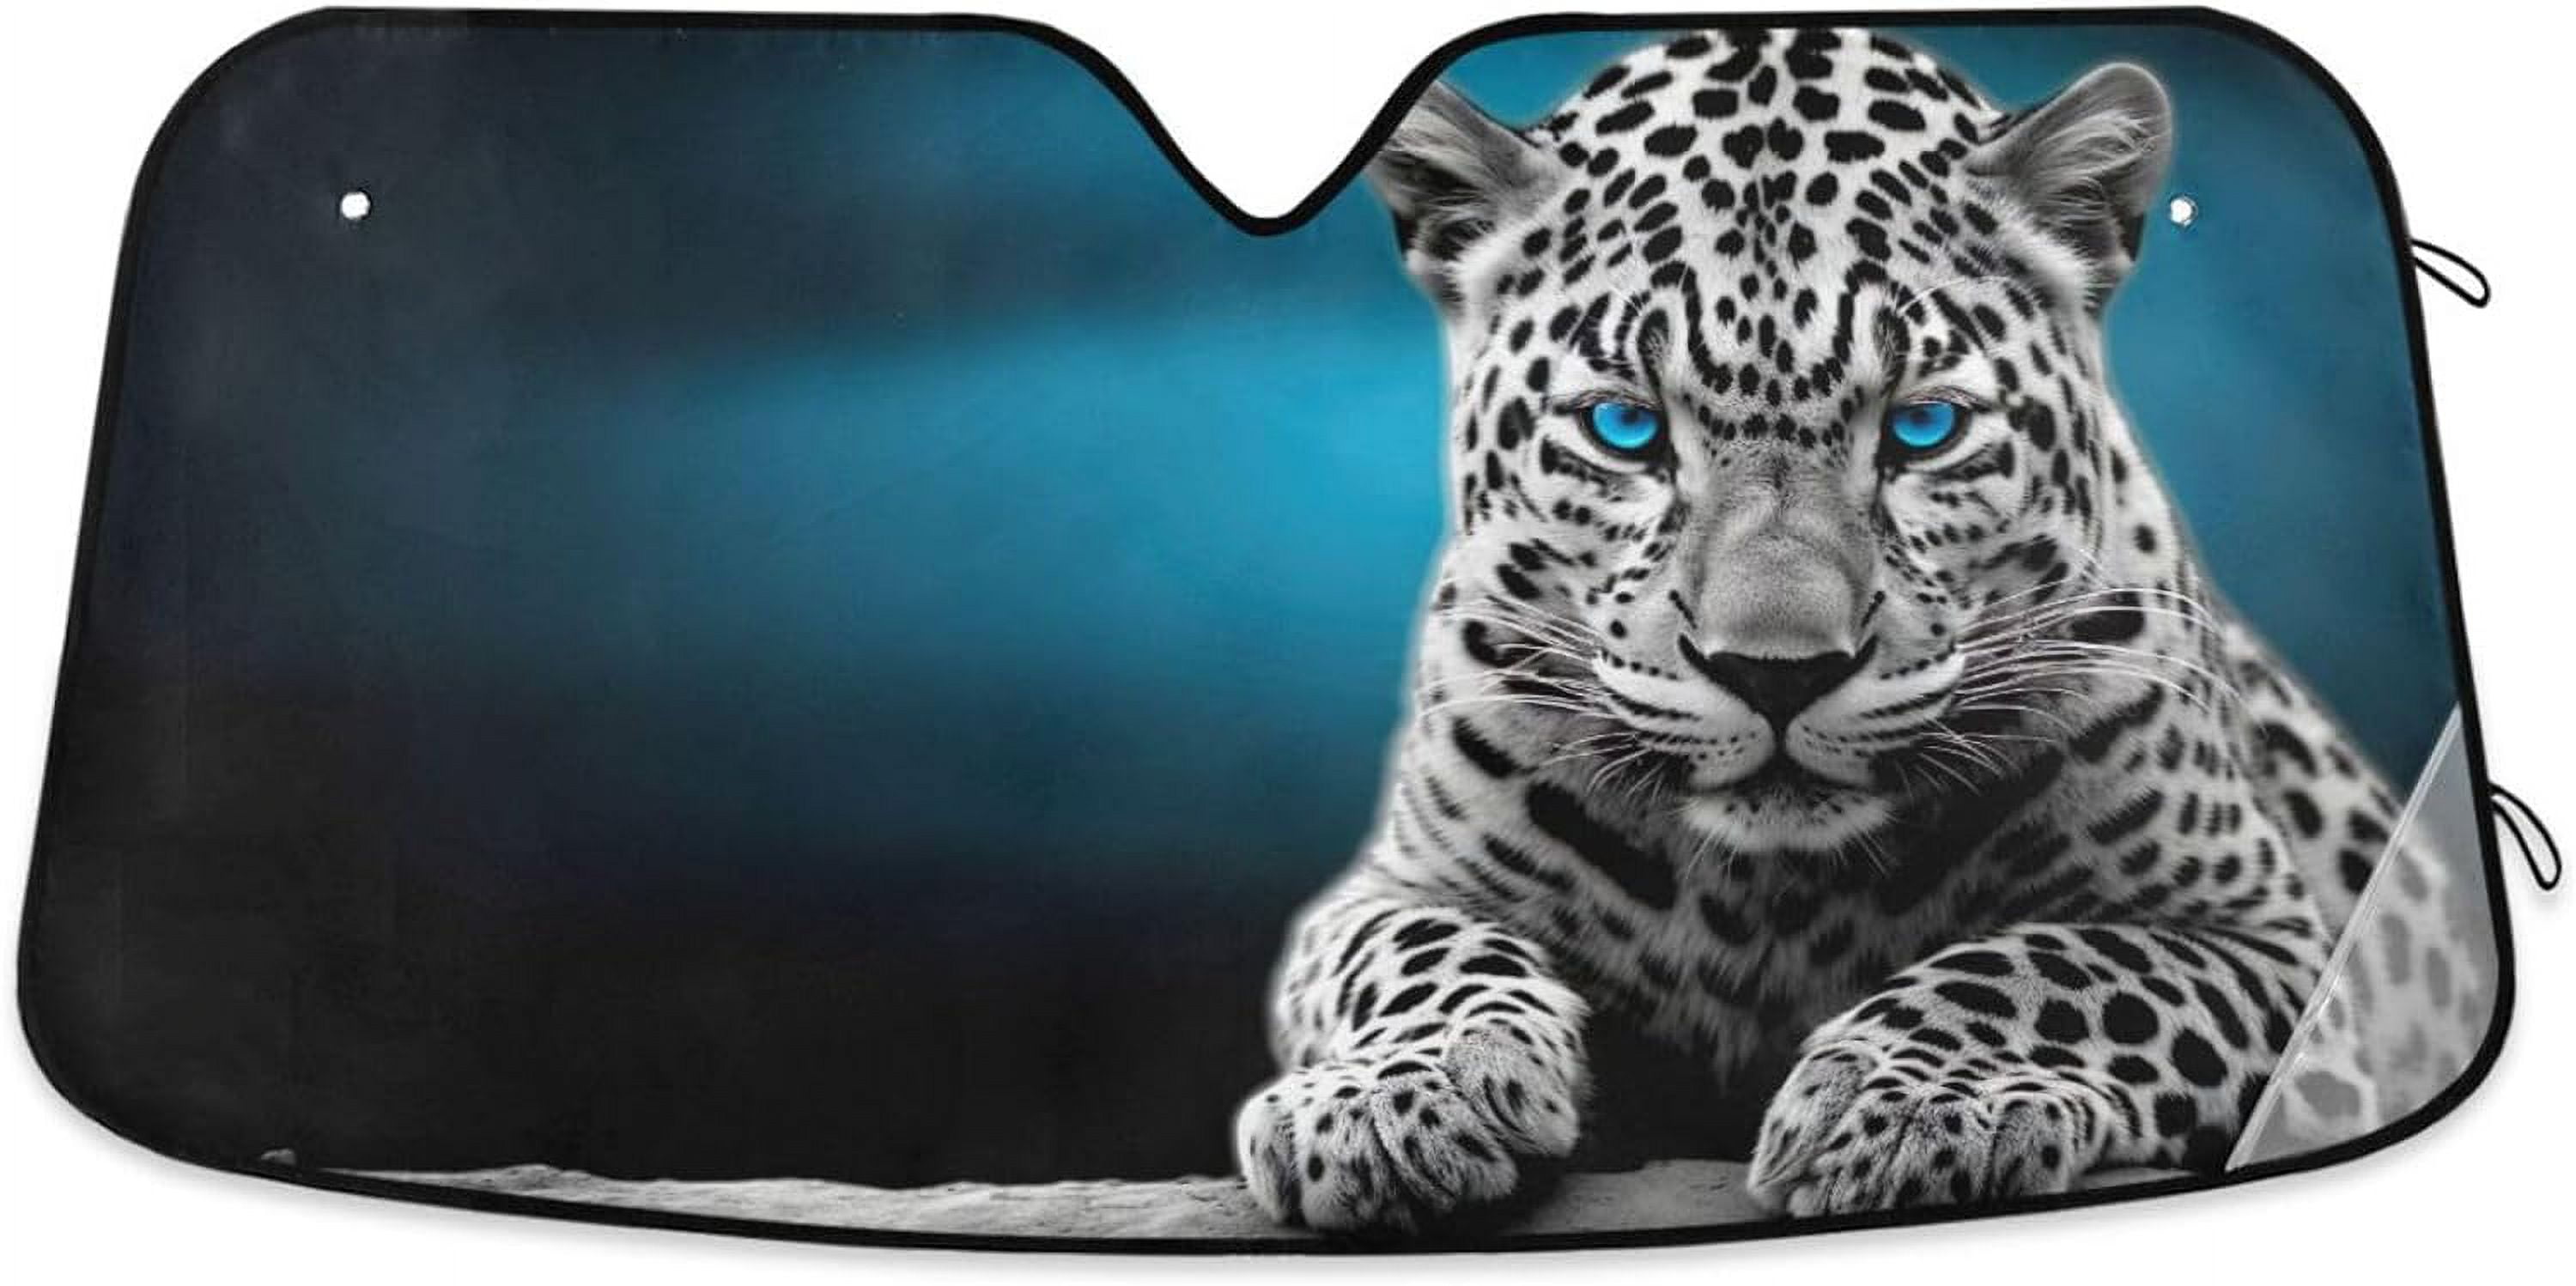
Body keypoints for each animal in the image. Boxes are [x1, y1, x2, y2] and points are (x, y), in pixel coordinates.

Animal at [1232, 26, 2486, 1233]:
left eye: (1925, 429)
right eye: (1625, 429)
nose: (1775, 675)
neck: (1767, 900)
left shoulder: (2274, 947)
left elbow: (2061, 961)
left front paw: (1906, 1099)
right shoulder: (1389, 888)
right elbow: (1411, 951)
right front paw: (1388, 1097)